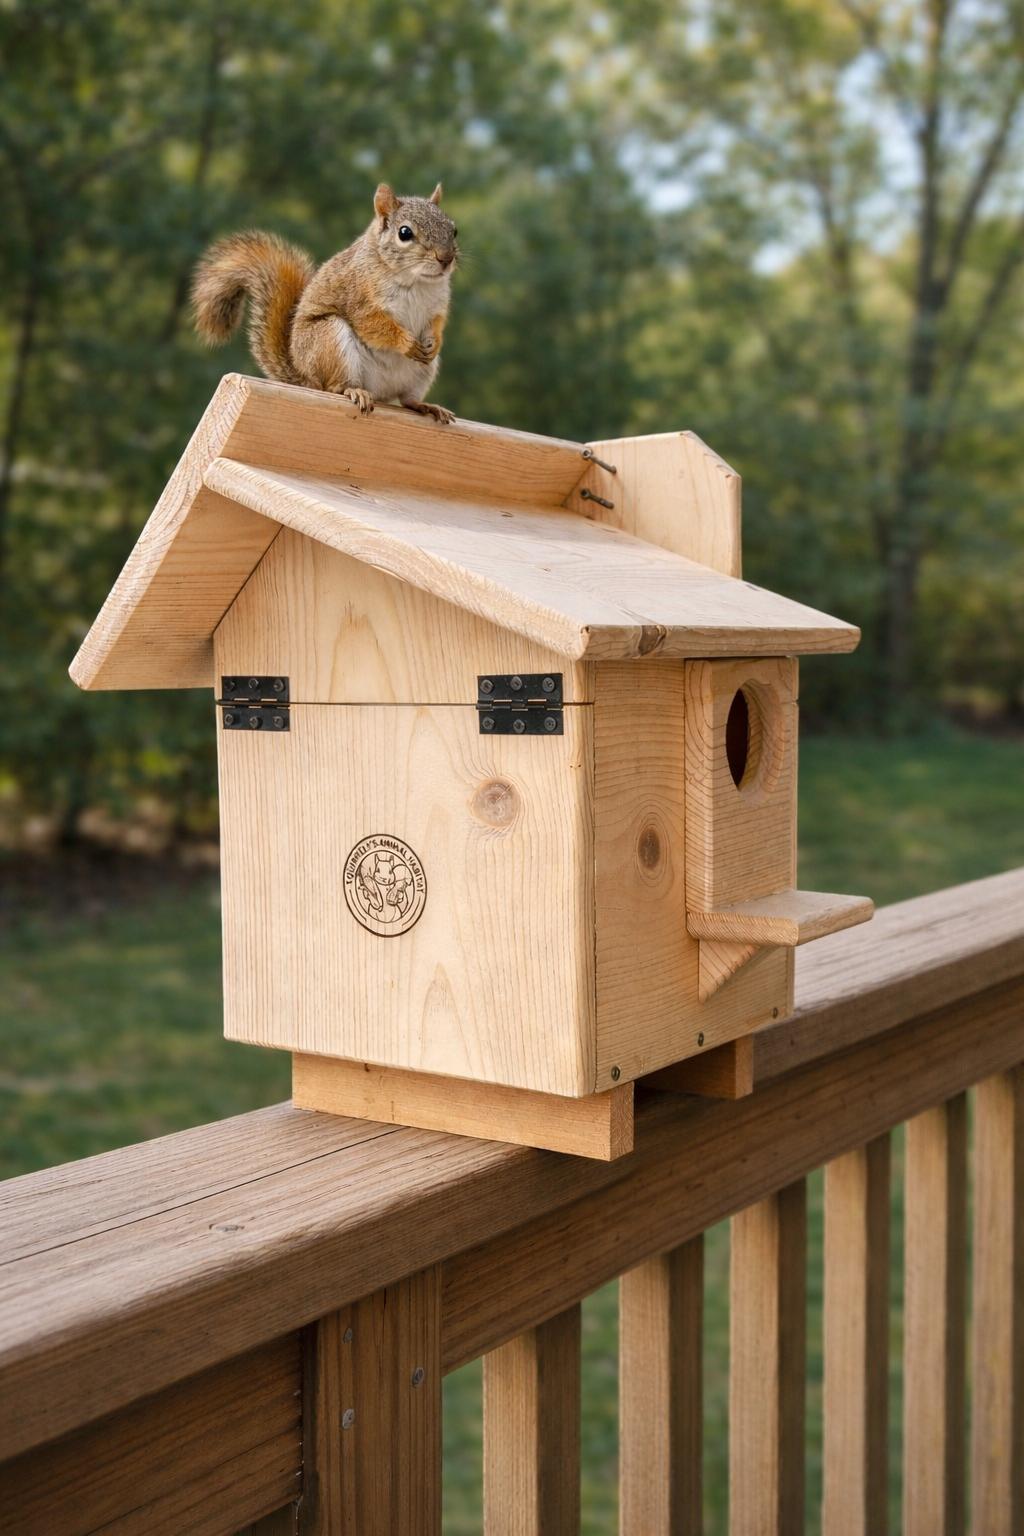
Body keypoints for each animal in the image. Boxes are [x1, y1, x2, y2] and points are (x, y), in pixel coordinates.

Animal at [190, 183, 458, 423]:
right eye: (405, 233)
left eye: (454, 230)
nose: (446, 259)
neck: (417, 281)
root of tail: (307, 377)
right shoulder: (359, 298)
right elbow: (374, 326)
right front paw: (407, 343)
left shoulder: (437, 305)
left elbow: (437, 322)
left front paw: (434, 342)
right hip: (330, 340)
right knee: (334, 387)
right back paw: (354, 390)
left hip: (423, 372)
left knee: (406, 399)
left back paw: (426, 406)